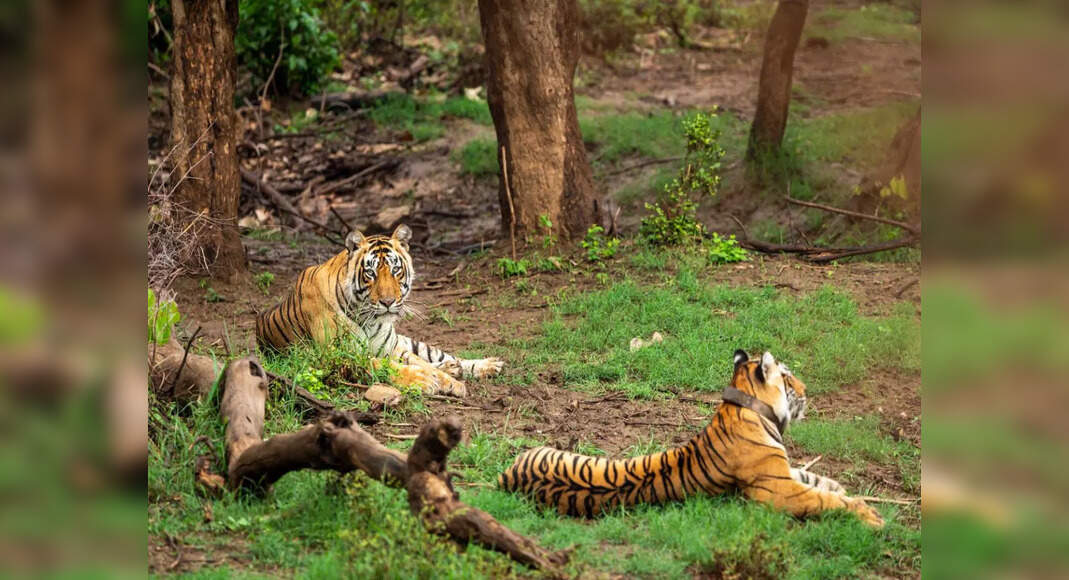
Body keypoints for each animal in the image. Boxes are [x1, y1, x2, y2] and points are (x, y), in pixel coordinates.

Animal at [255, 224, 504, 396]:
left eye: (395, 270)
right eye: (371, 273)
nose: (388, 301)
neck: (370, 319)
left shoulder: (392, 348)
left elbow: (420, 362)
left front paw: (450, 382)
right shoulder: (340, 356)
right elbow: (392, 367)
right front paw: (425, 380)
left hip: (407, 342)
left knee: (440, 356)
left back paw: (485, 365)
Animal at [498, 350, 884, 527]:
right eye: (788, 378)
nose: (806, 390)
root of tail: (506, 477)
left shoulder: (784, 471)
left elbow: (816, 479)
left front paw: (843, 488)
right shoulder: (777, 490)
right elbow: (822, 499)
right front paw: (869, 514)